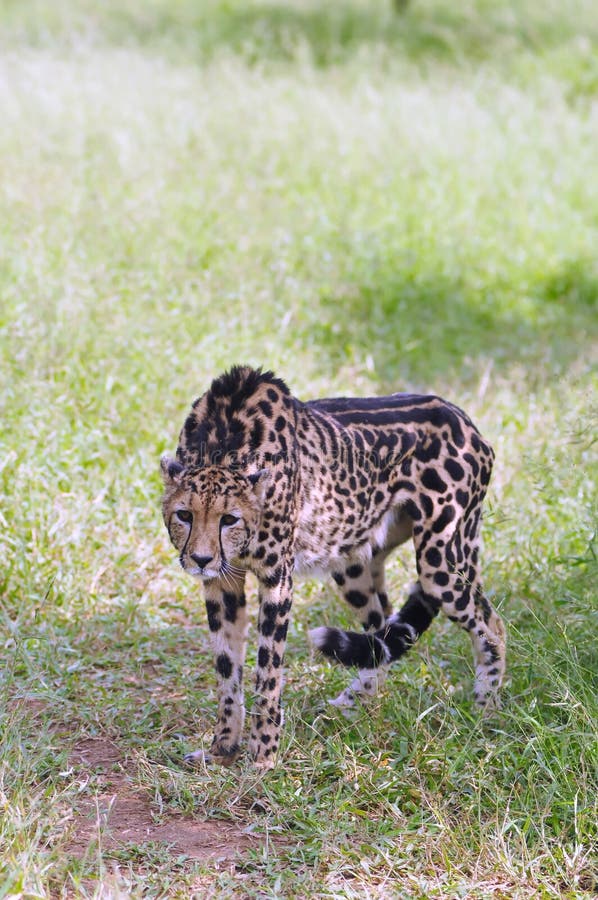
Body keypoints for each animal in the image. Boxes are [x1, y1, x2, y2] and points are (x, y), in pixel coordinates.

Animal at [160, 366, 506, 769]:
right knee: (383, 629)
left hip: (441, 563)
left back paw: (485, 711)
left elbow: (268, 673)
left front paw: (263, 756)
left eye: (229, 519)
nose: (201, 559)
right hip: (353, 562)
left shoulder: (277, 579)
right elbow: (227, 671)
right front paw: (223, 750)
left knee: (493, 626)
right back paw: (355, 703)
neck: (223, 445)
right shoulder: (221, 585)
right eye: (184, 515)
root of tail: (462, 417)